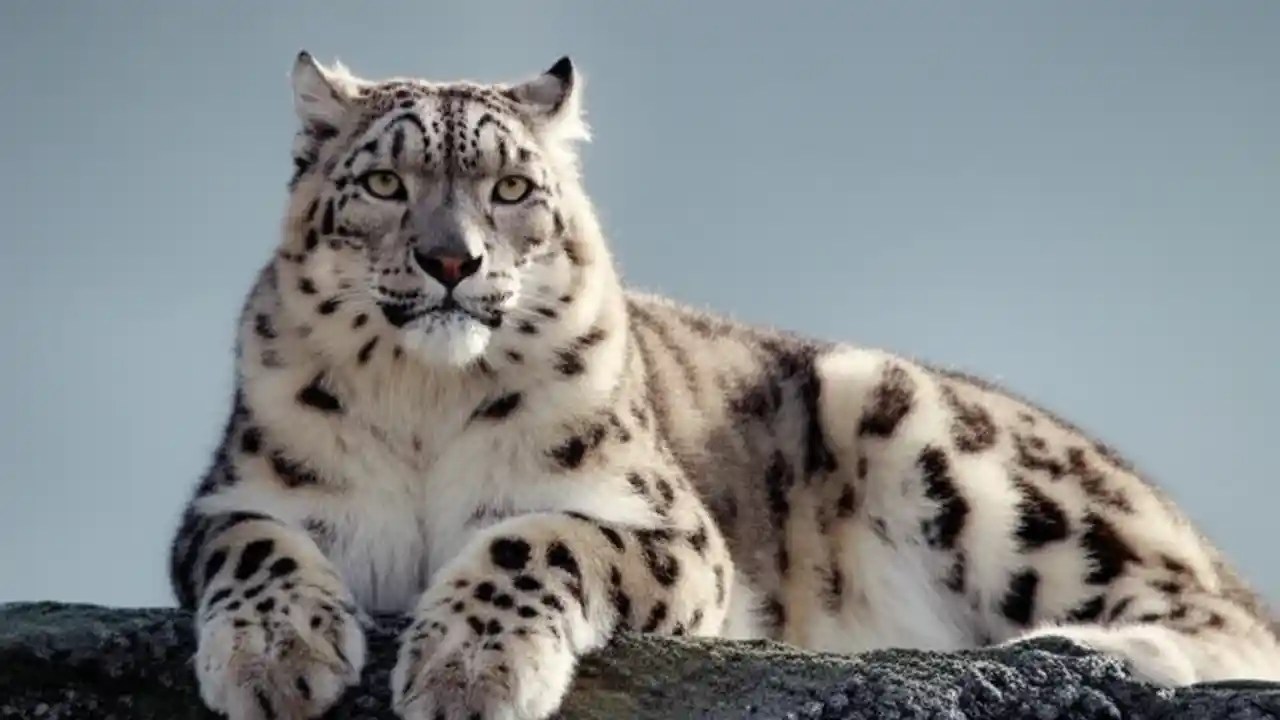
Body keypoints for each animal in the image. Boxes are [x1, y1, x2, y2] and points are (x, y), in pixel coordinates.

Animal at [168, 51, 1280, 720]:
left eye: (512, 187)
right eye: (384, 182)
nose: (451, 260)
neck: (425, 412)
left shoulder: (668, 531)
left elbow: (537, 538)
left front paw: (466, 673)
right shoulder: (232, 497)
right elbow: (255, 546)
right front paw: (274, 659)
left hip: (959, 455)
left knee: (1231, 620)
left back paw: (1076, 650)